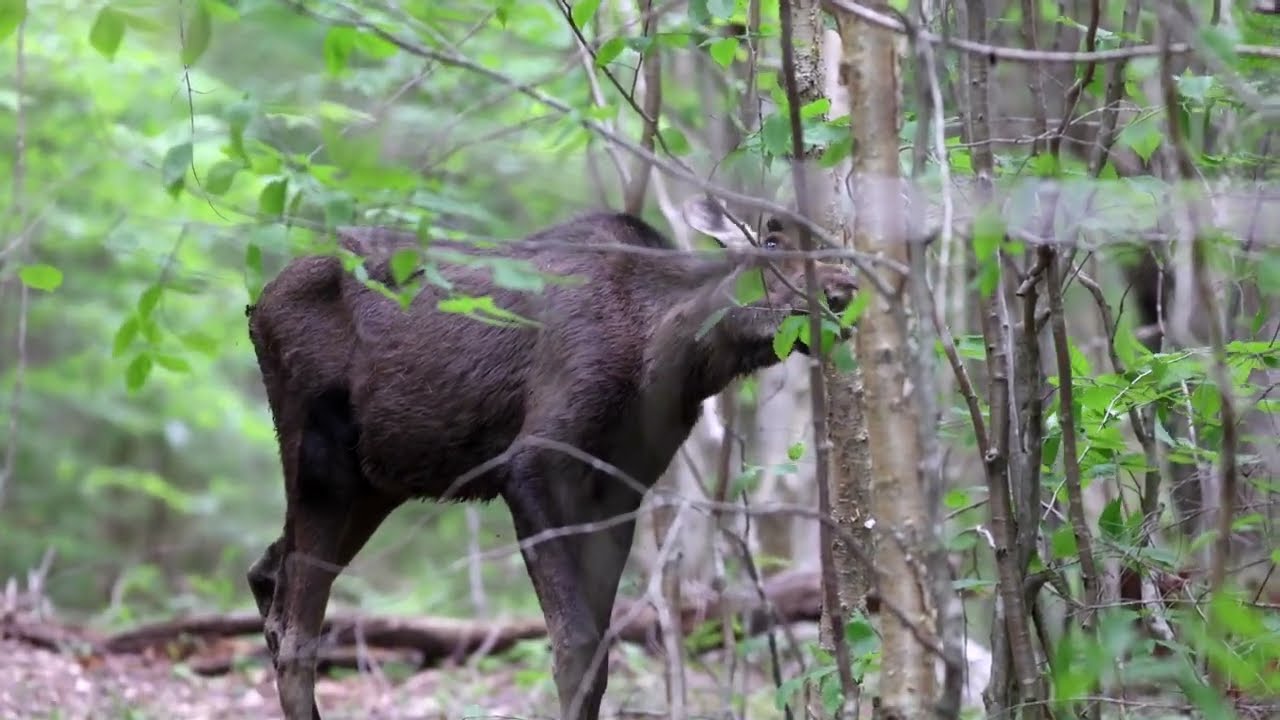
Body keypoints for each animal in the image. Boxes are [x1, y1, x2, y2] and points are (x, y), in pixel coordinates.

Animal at [243, 195, 860, 720]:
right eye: (774, 243)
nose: (845, 290)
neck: (669, 353)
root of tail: (257, 306)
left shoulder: (622, 486)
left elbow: (602, 648)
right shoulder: (531, 465)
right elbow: (575, 644)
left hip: (376, 483)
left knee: (267, 577)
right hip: (320, 457)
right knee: (296, 633)